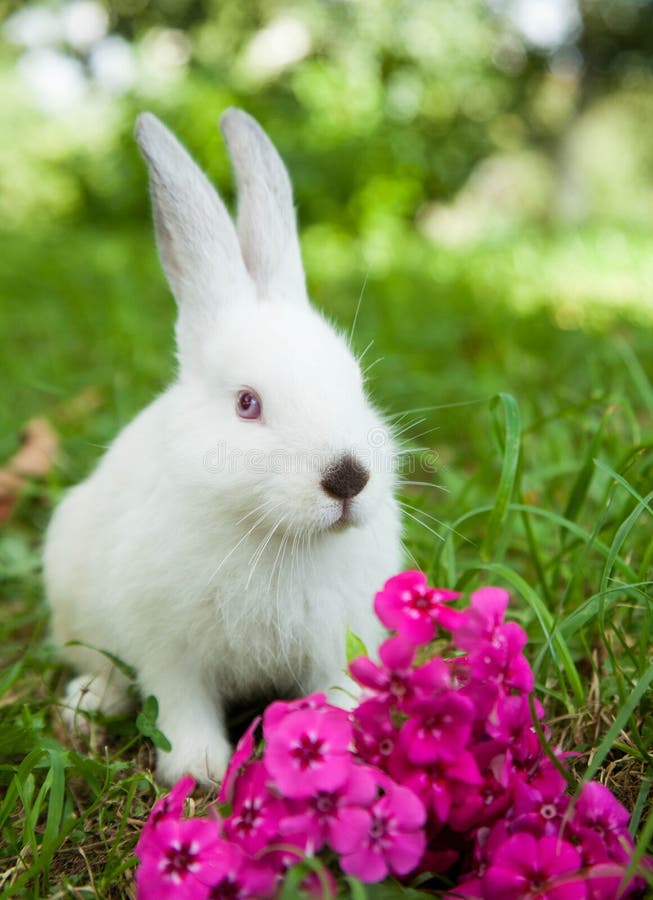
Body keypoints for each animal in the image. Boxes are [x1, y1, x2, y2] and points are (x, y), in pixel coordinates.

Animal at [44, 108, 402, 787]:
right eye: (247, 403)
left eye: (357, 384)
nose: (347, 479)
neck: (273, 534)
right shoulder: (168, 648)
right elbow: (178, 705)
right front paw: (202, 770)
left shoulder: (338, 640)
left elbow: (338, 696)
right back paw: (87, 705)